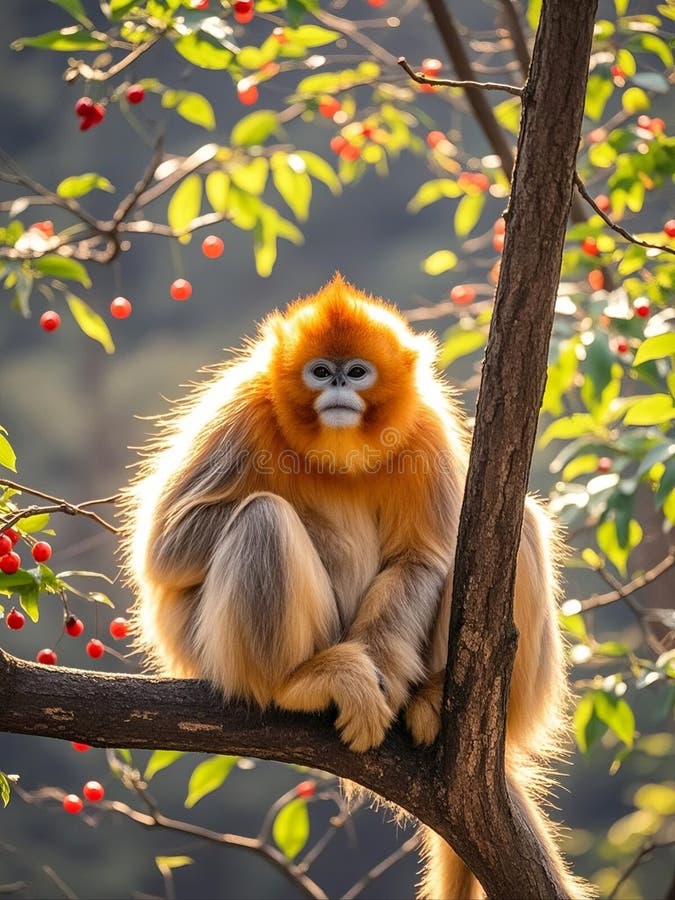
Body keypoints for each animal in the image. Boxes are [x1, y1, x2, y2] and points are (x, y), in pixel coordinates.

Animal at [120, 274, 588, 899]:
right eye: (321, 371)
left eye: (357, 372)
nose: (340, 384)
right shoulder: (241, 406)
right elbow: (165, 549)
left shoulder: (425, 427)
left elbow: (424, 556)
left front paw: (384, 673)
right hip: (210, 652)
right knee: (264, 516)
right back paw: (300, 682)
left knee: (517, 531)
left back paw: (430, 696)